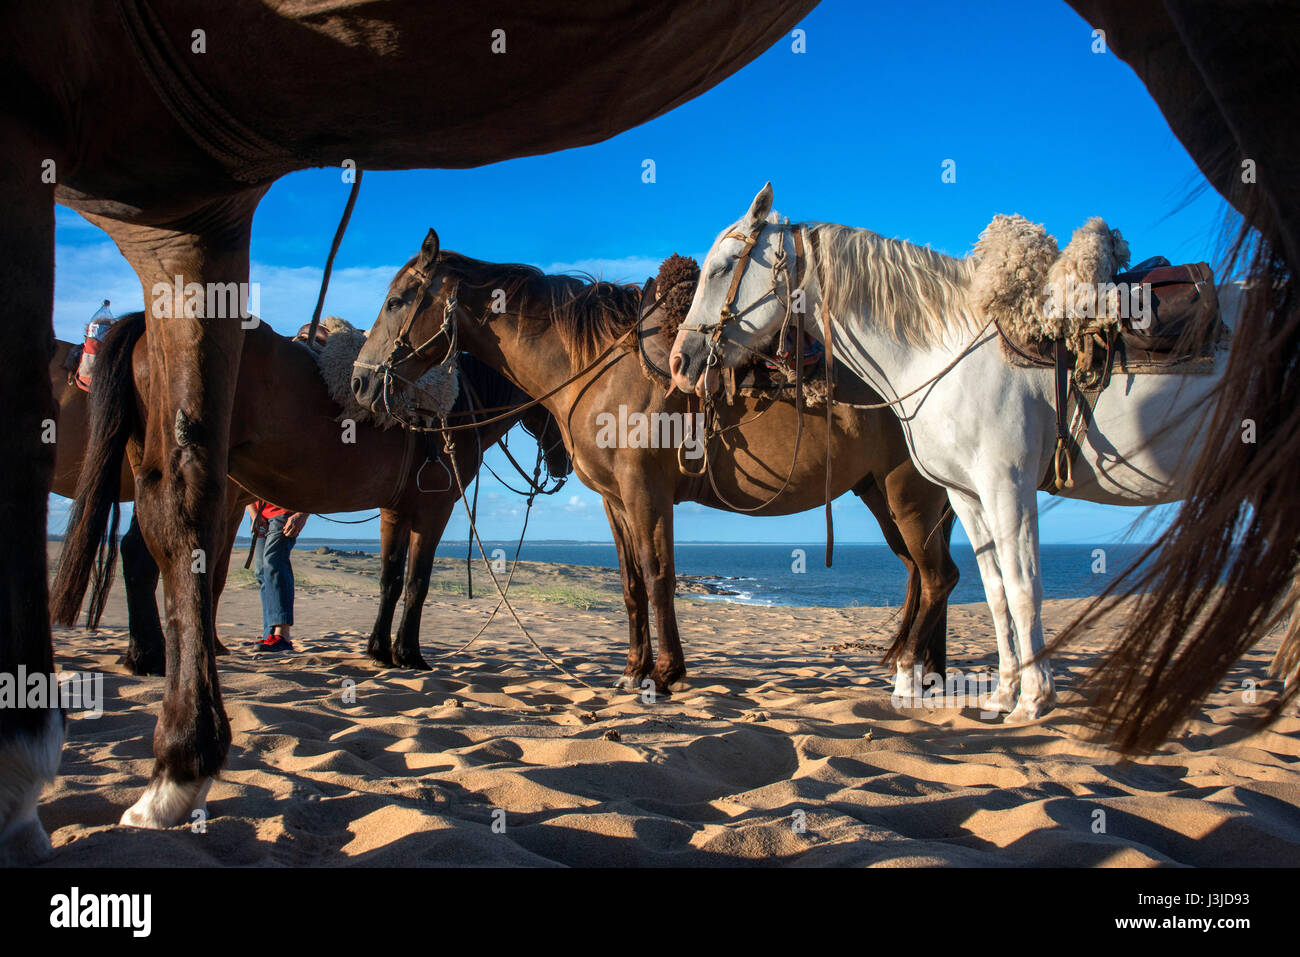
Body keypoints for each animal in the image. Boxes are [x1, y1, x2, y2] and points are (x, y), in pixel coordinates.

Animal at [2, 2, 812, 859]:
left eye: (398, 298)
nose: (361, 387)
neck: (455, 400)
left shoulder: (401, 507)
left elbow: (394, 577)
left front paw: (383, 651)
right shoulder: (431, 503)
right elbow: (418, 577)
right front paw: (410, 652)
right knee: (159, 544)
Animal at [351, 229, 958, 696]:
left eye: (398, 300)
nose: (360, 381)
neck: (599, 364)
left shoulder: (647, 490)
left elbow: (658, 573)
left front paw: (666, 674)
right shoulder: (615, 499)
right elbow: (631, 582)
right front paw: (633, 670)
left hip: (909, 495)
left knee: (937, 577)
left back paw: (912, 674)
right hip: (887, 495)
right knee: (924, 574)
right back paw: (929, 672)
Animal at [669, 184, 1242, 723]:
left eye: (722, 267)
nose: (681, 360)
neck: (948, 348)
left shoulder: (1008, 484)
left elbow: (1023, 585)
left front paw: (1034, 700)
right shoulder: (966, 494)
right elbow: (994, 591)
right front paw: (1005, 693)